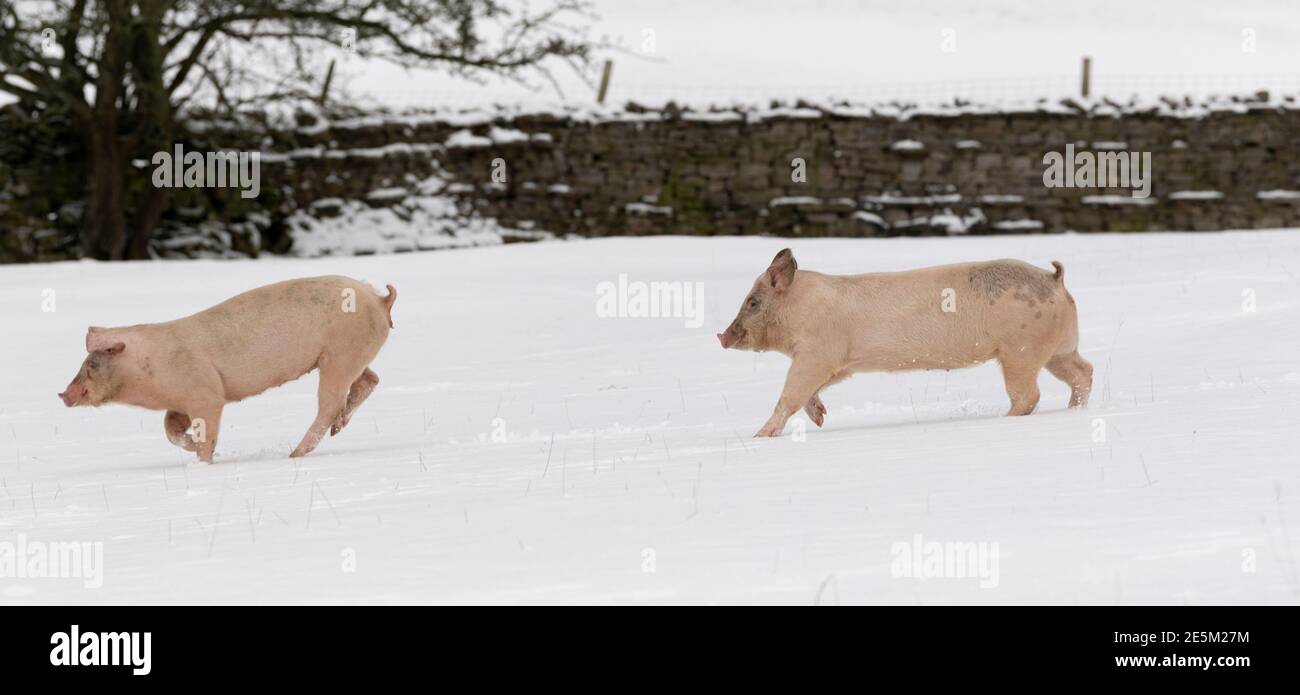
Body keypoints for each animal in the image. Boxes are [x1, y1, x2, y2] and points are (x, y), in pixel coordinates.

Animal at [59, 276, 396, 463]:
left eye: (92, 364)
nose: (63, 394)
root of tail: (379, 299)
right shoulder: (178, 403)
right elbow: (170, 429)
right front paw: (191, 448)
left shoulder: (205, 393)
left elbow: (205, 429)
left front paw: (204, 462)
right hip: (350, 357)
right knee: (370, 380)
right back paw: (334, 431)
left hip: (339, 355)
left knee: (330, 405)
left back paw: (294, 454)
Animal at [718, 249, 1092, 437]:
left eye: (753, 302)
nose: (721, 336)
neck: (799, 309)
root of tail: (1054, 278)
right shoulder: (841, 363)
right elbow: (813, 389)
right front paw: (821, 418)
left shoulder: (818, 352)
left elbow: (790, 394)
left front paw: (759, 436)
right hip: (1059, 348)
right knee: (1083, 371)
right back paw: (1075, 410)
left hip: (1020, 350)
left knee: (1029, 395)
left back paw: (1005, 419)